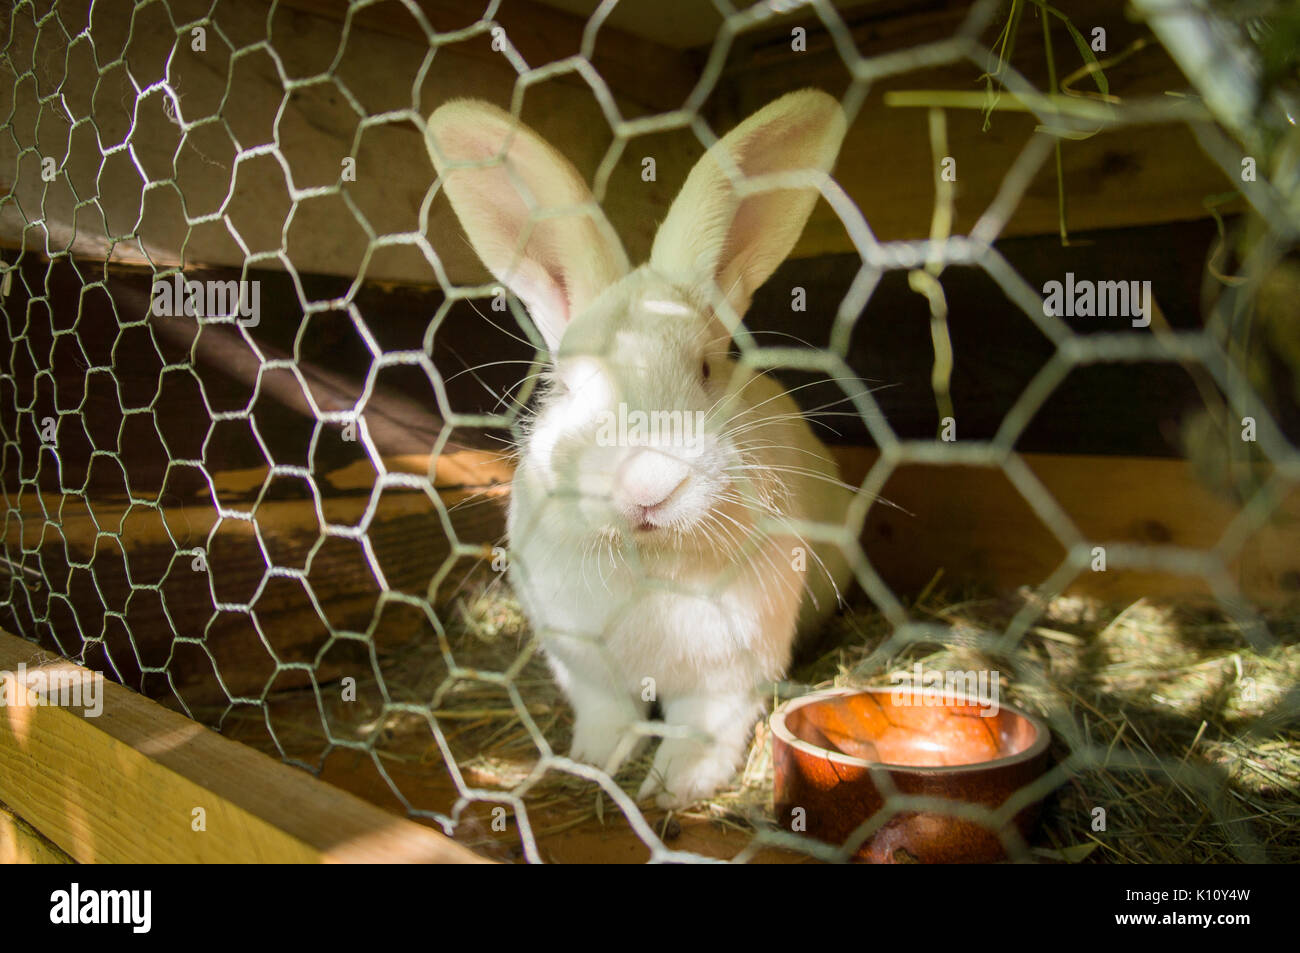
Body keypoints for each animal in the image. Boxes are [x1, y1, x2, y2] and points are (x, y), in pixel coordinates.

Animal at [425, 89, 854, 808]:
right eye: (567, 385)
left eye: (708, 369)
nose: (647, 485)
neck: (650, 562)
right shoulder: (583, 664)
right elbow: (607, 713)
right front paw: (591, 760)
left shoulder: (725, 676)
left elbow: (702, 728)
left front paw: (676, 786)